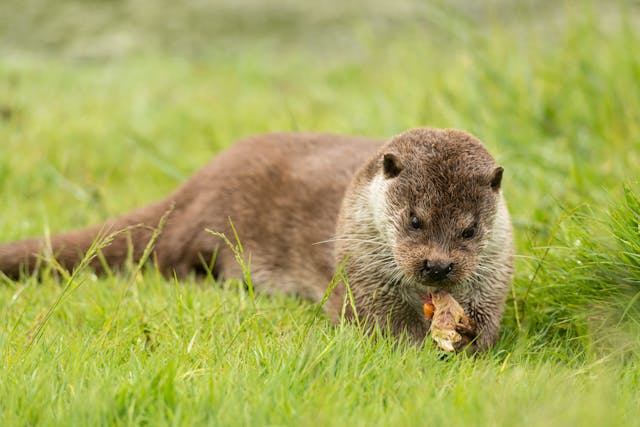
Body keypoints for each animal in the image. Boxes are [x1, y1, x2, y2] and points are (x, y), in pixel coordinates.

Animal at [0, 128, 512, 350]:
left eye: (469, 229)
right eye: (414, 221)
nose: (437, 266)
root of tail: (199, 181)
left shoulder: (495, 276)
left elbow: (489, 325)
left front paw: (467, 336)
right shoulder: (358, 278)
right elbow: (378, 326)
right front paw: (417, 349)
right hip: (203, 229)